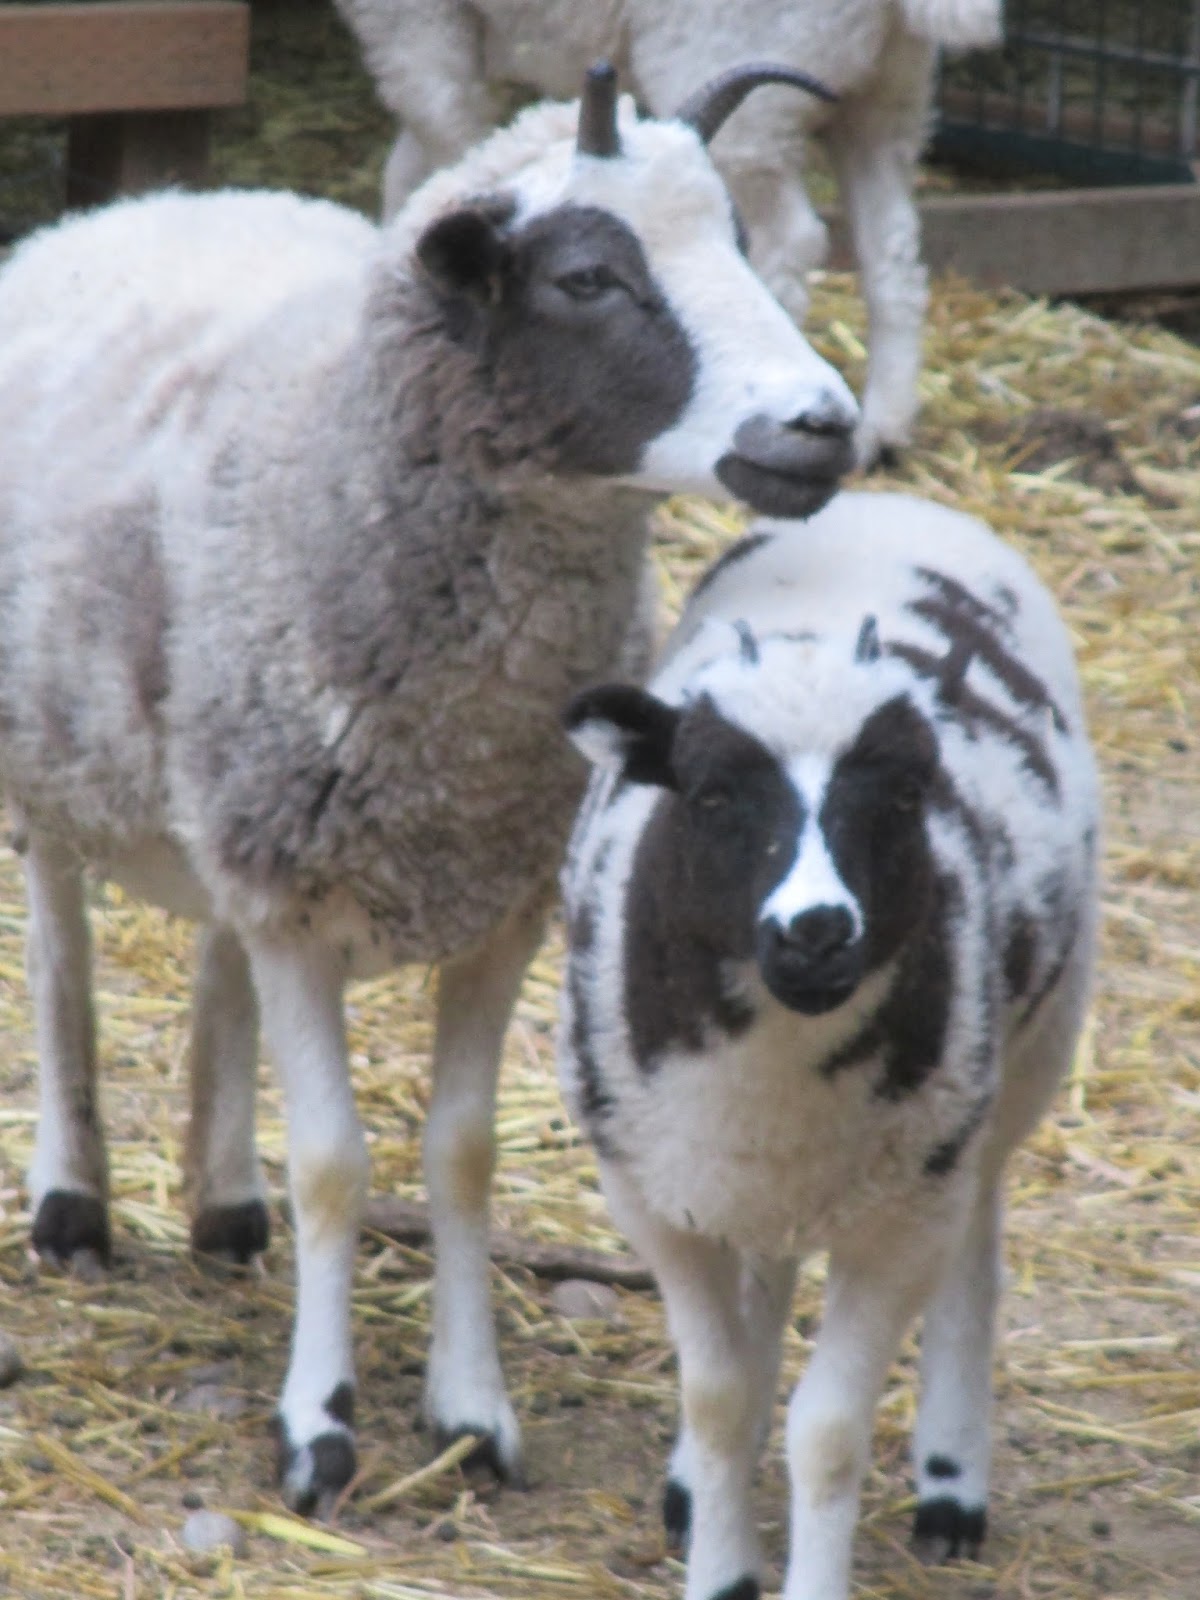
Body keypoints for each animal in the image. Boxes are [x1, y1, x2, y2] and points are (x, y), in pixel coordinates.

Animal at [0, 64, 861, 1514]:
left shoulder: (495, 899)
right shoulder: (298, 898)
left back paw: (223, 1201)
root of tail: (143, 204)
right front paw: (319, 1426)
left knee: (214, 959)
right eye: (586, 276)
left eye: (740, 242)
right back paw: (73, 1198)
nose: (824, 426)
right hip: (59, 749)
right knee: (62, 941)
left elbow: (463, 1155)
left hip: (229, 793)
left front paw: (470, 1411)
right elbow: (337, 1168)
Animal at [333, 0, 1002, 468]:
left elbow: (446, 142)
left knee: (790, 240)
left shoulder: (416, 25)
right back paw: (882, 428)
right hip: (889, 96)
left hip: (741, 79)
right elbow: (411, 167)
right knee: (894, 255)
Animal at [559, 491, 1100, 1600]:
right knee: (763, 1293)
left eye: (902, 796)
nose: (816, 931)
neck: (775, 1071)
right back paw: (693, 1486)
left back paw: (950, 1483)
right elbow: (721, 1395)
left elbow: (829, 1431)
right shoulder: (656, 1202)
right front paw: (720, 1559)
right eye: (710, 794)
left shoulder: (902, 1222)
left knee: (974, 1259)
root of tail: (896, 499)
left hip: (1019, 1070)